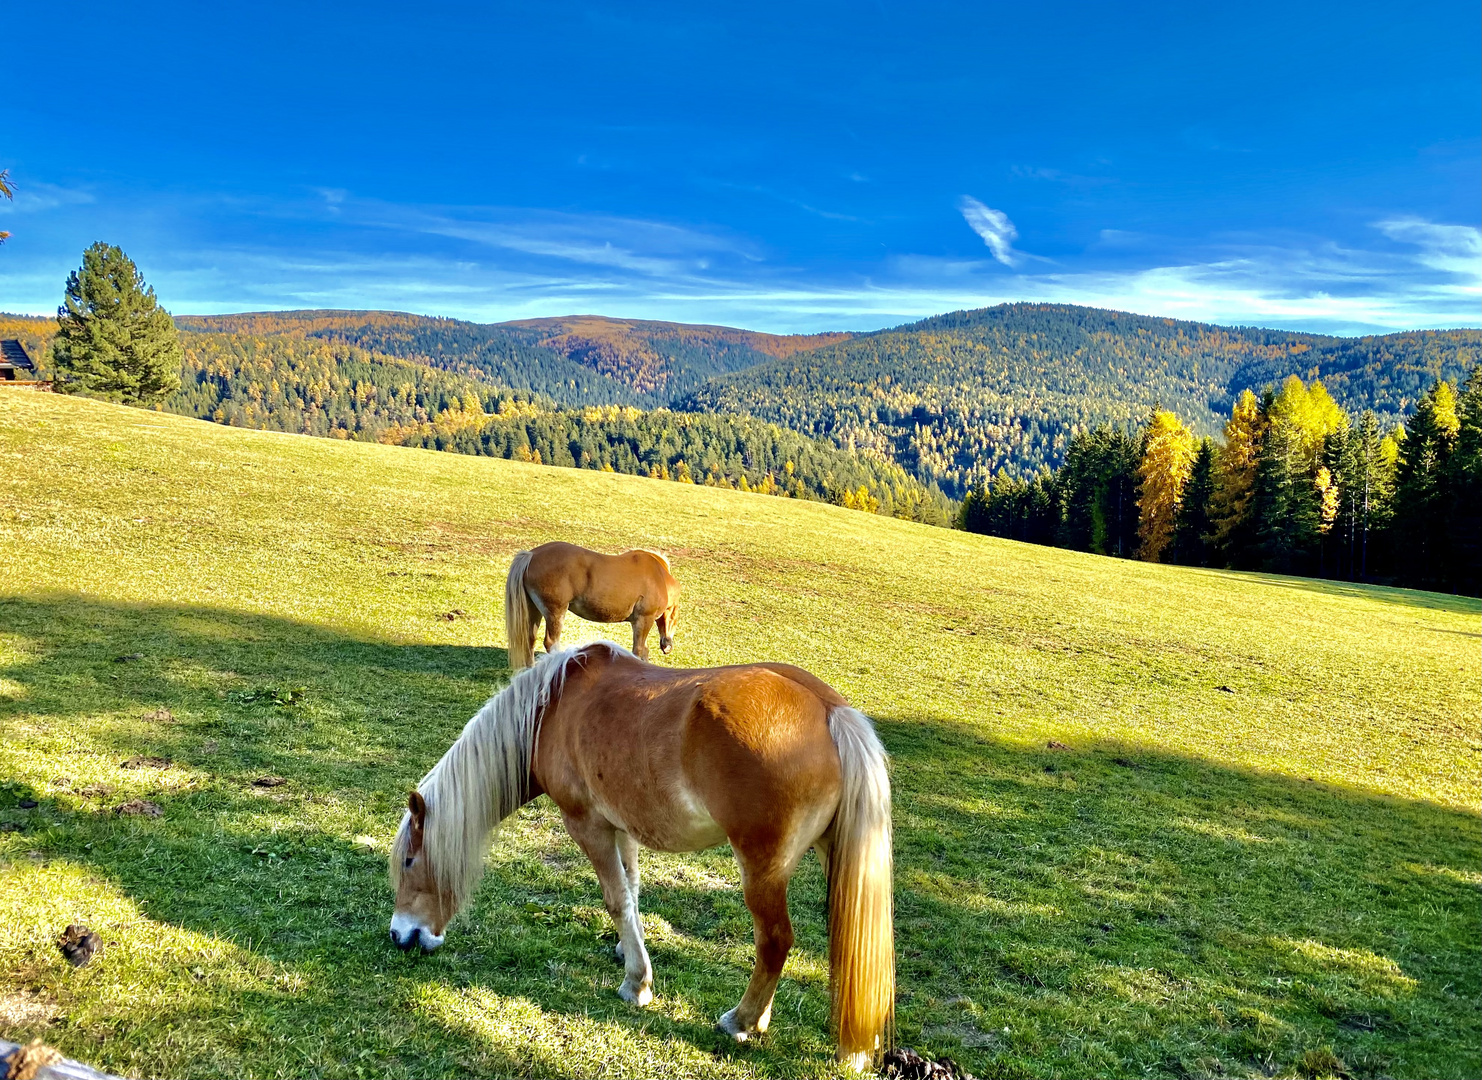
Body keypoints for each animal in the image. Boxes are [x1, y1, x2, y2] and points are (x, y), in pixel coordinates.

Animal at [388, 642, 895, 1069]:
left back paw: (741, 1020)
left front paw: (637, 983)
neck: (550, 709)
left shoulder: (587, 825)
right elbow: (630, 892)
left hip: (761, 871)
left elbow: (616, 900)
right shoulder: (621, 825)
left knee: (775, 941)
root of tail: (830, 711)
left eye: (410, 863)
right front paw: (626, 951)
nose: (400, 935)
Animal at [504, 542, 682, 669]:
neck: (659, 577)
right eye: (675, 616)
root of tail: (531, 555)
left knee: (529, 641)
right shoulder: (644, 620)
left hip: (534, 611)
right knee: (550, 642)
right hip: (555, 612)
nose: (668, 645)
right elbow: (639, 650)